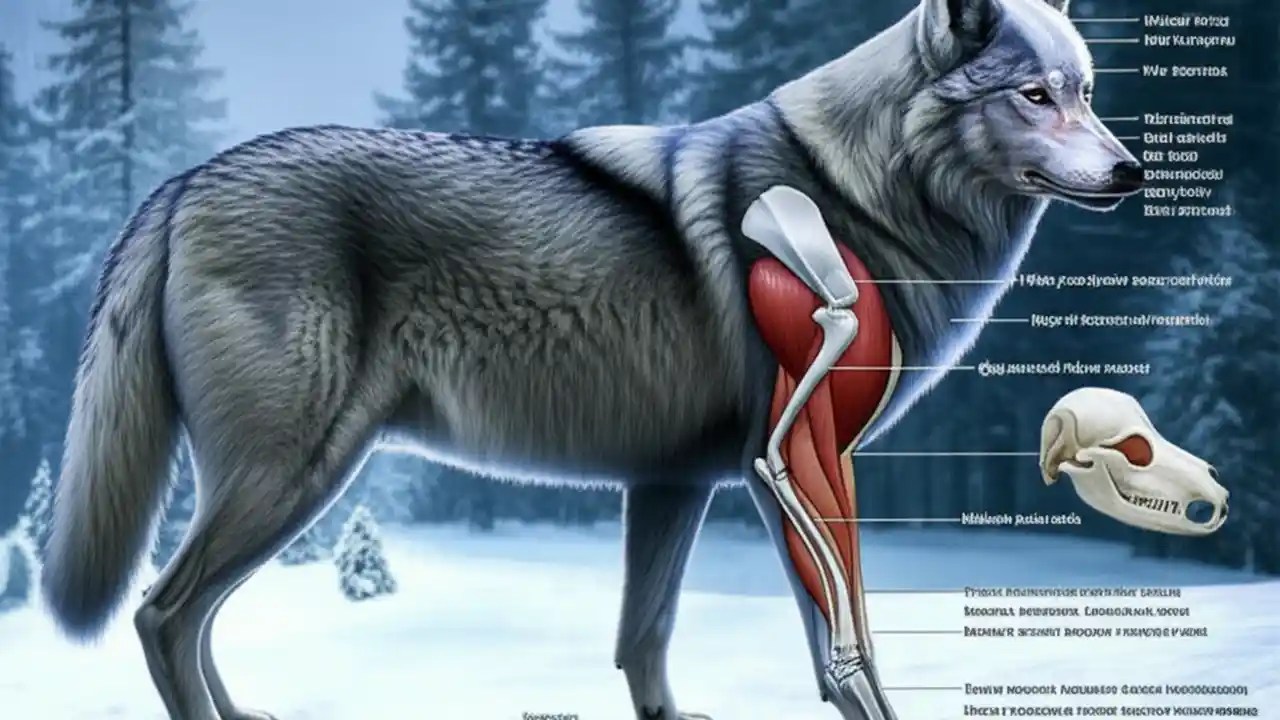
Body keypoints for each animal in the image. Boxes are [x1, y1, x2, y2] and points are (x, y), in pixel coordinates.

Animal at [41, 0, 1141, 718]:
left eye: (1086, 93)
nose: (1133, 172)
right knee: (162, 615)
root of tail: (180, 182)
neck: (849, 193)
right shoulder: (787, 463)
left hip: (292, 483)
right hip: (292, 477)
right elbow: (842, 637)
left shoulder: (672, 484)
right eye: (1034, 95)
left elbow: (642, 639)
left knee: (186, 619)